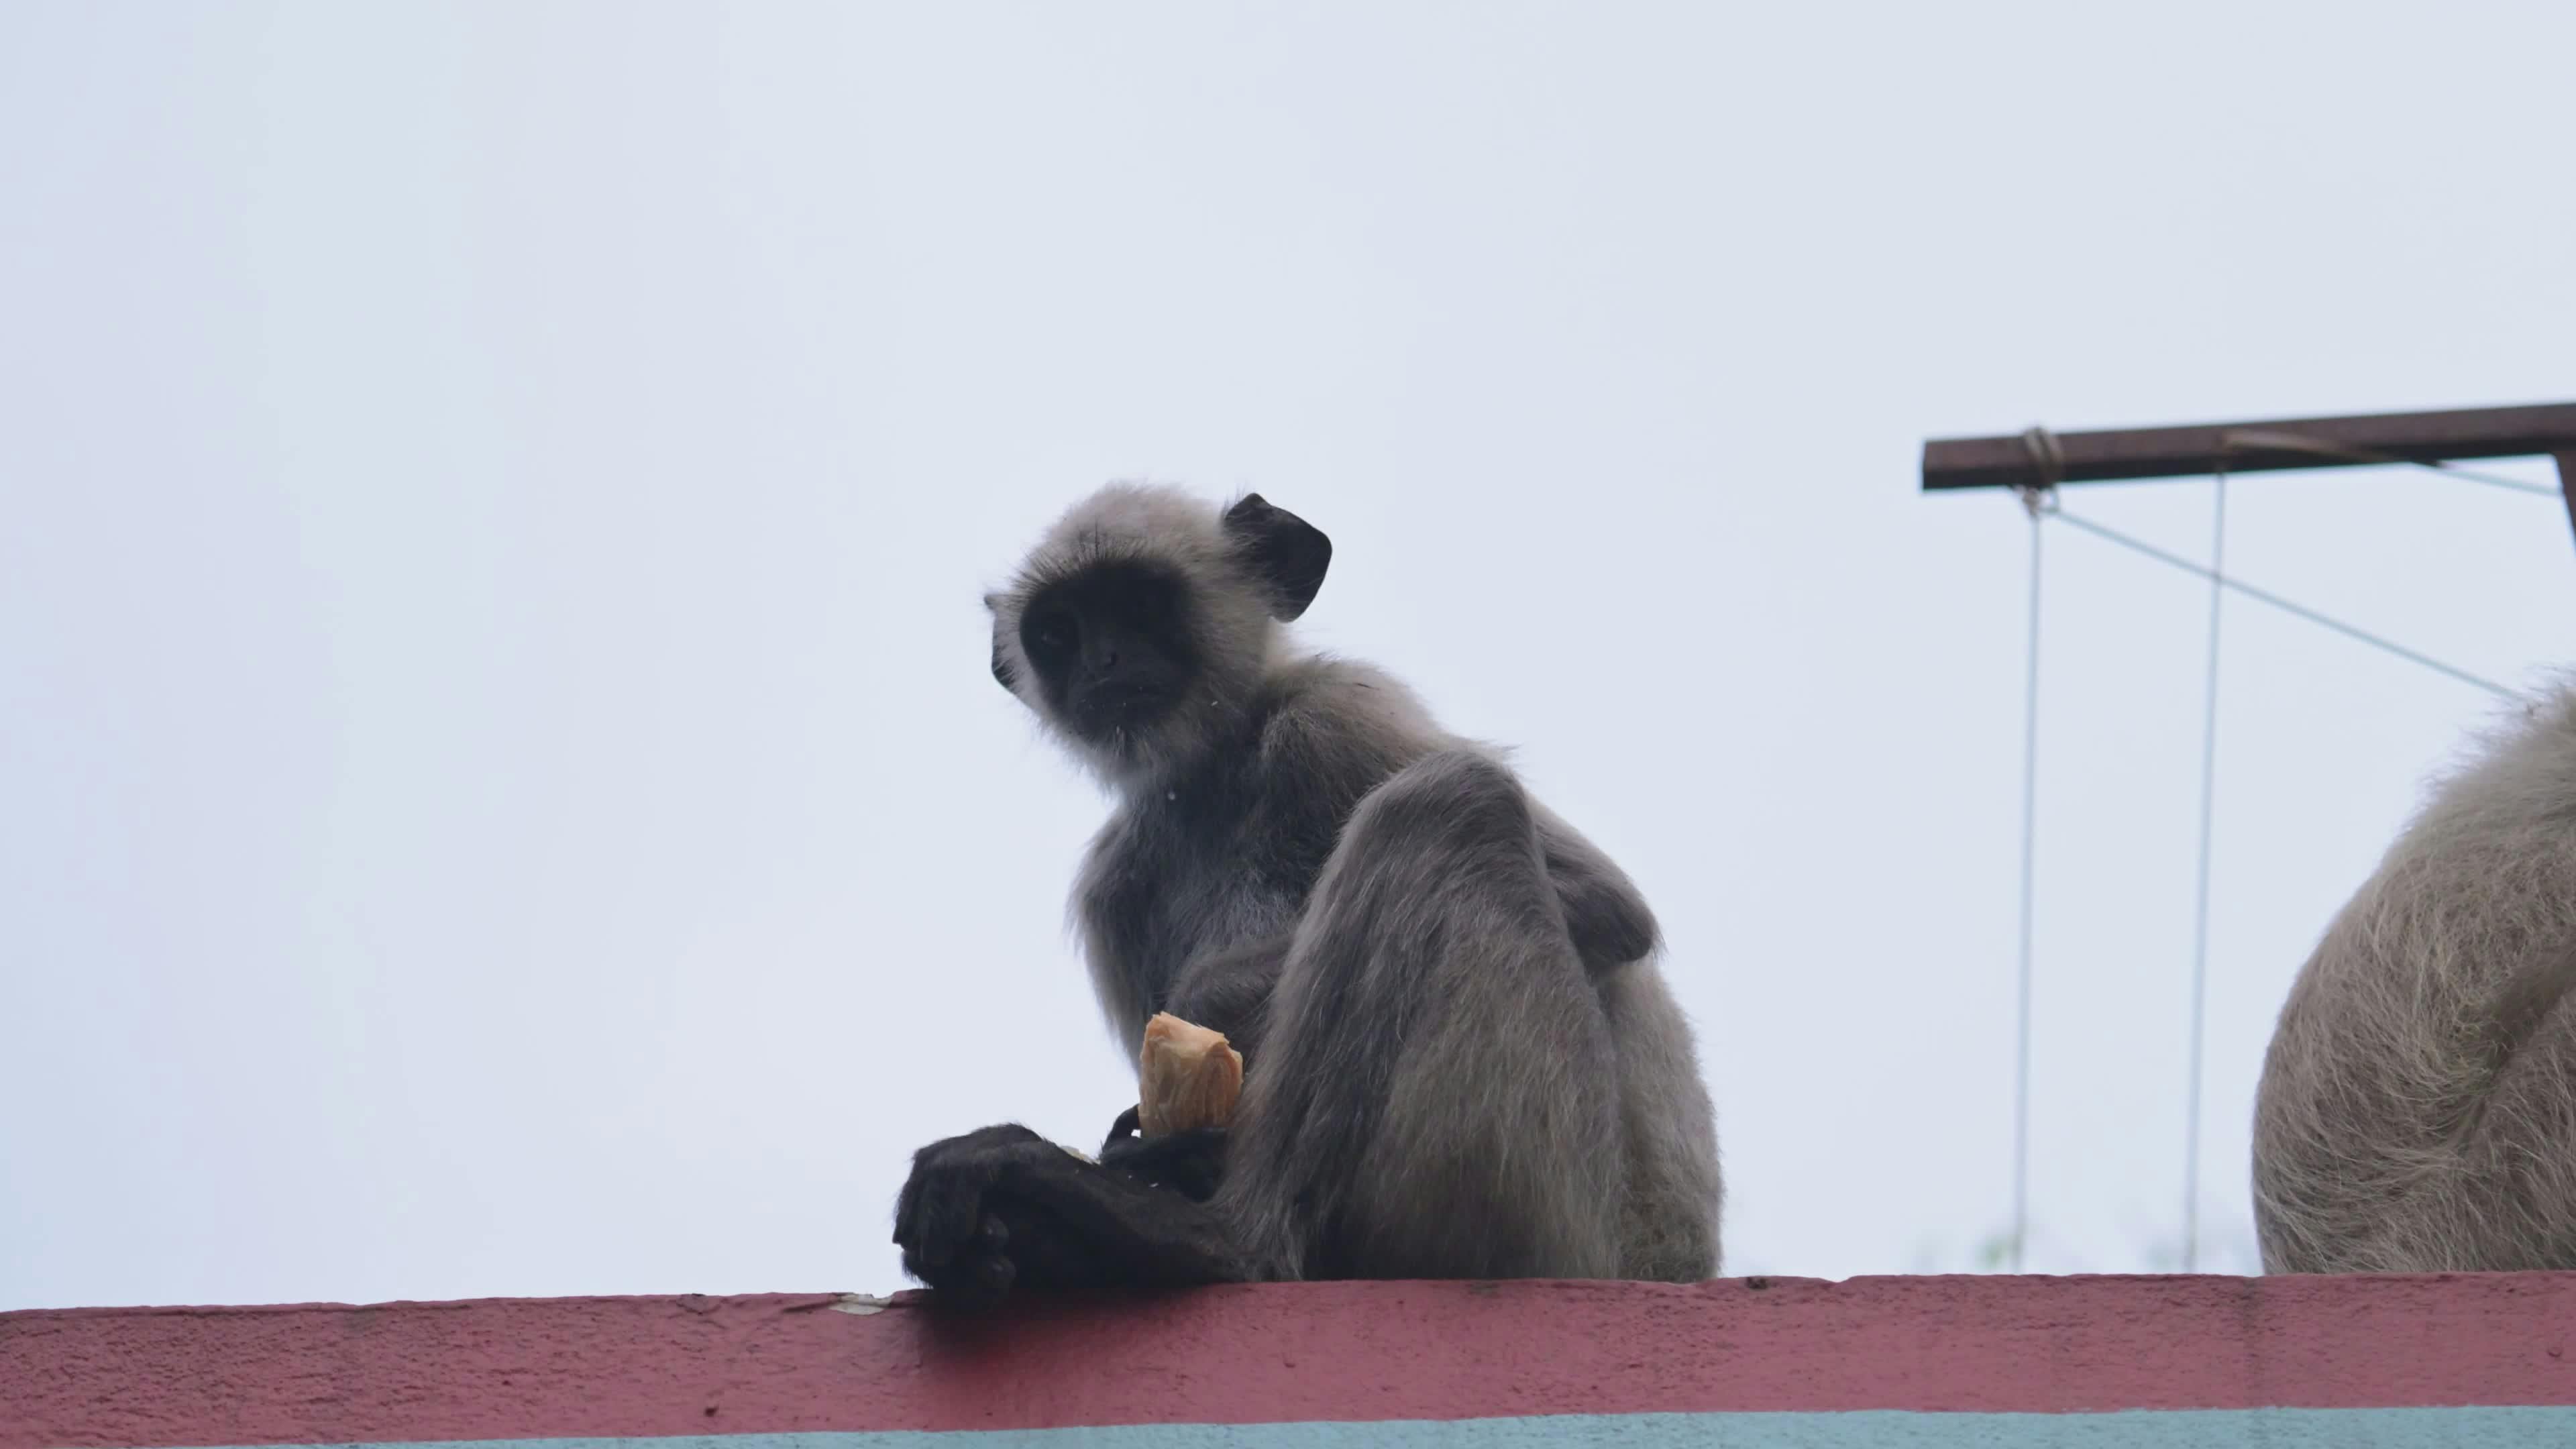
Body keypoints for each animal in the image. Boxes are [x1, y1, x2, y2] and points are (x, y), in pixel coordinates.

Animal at [891, 484, 1721, 1304]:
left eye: (1141, 603)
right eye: (1059, 632)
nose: (1105, 660)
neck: (1216, 771)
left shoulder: (1334, 713)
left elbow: (1609, 908)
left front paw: (1204, 1030)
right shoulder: (1116, 884)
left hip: (1561, 1211)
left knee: (1450, 801)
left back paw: (1207, 1242)